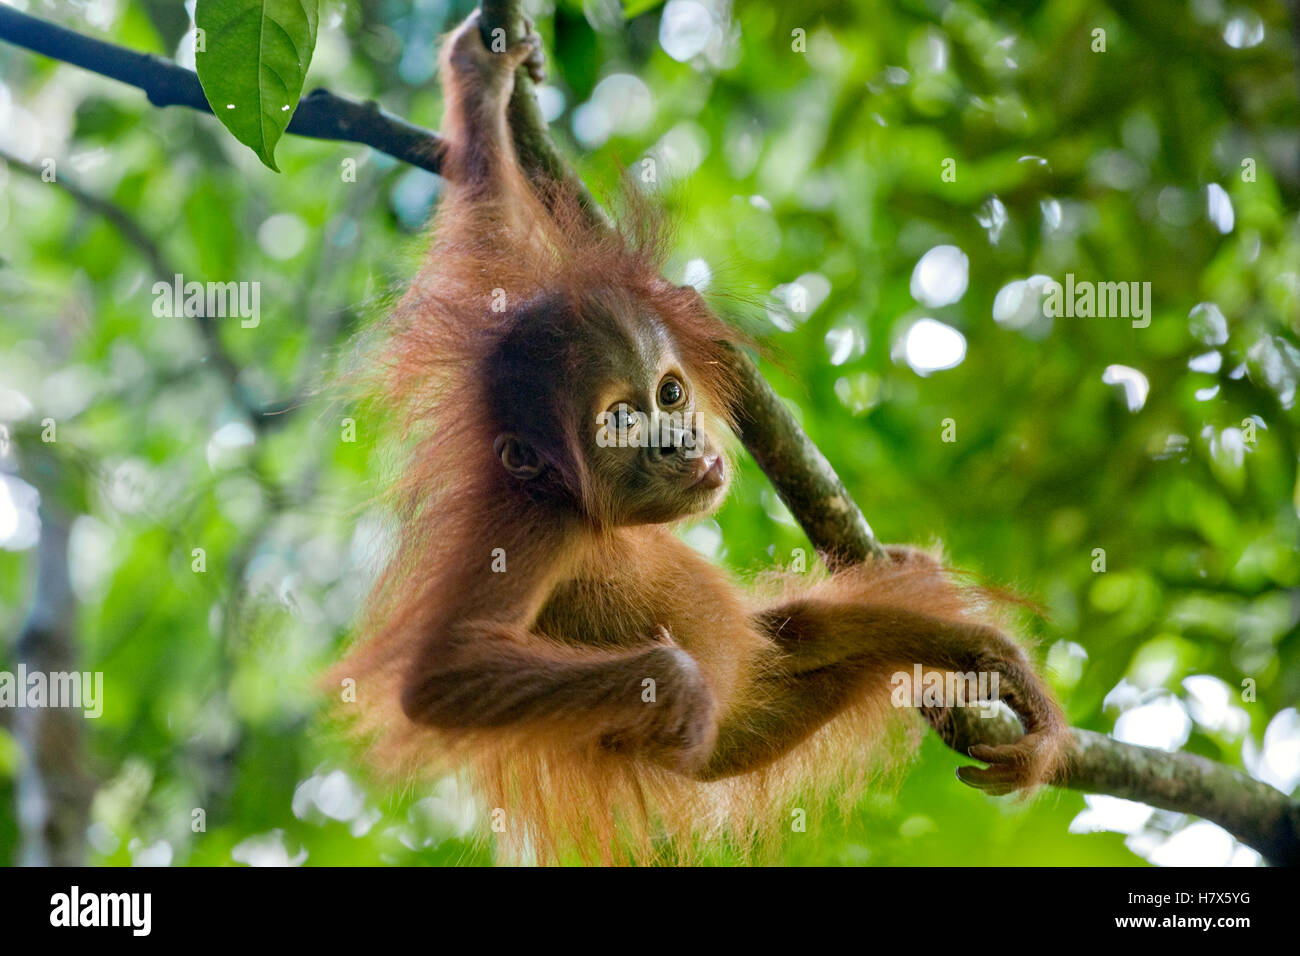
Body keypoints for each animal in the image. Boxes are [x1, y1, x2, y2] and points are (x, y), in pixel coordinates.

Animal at [332, 11, 1070, 864]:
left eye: (671, 392)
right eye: (624, 420)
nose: (684, 443)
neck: (590, 513)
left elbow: (490, 211)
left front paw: (481, 80)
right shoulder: (528, 526)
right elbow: (442, 679)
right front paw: (675, 685)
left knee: (804, 630)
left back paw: (965, 644)